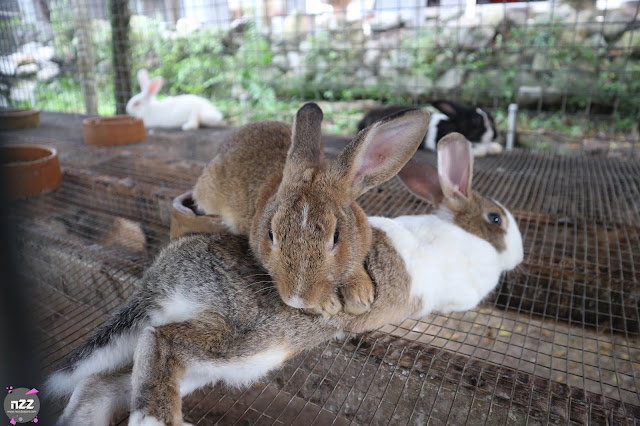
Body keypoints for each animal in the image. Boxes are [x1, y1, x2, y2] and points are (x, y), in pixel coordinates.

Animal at [45, 133, 524, 426]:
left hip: (204, 367)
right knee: (160, 339)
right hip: (247, 342)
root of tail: (162, 278)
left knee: (103, 384)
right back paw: (159, 420)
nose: (519, 254)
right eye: (496, 219)